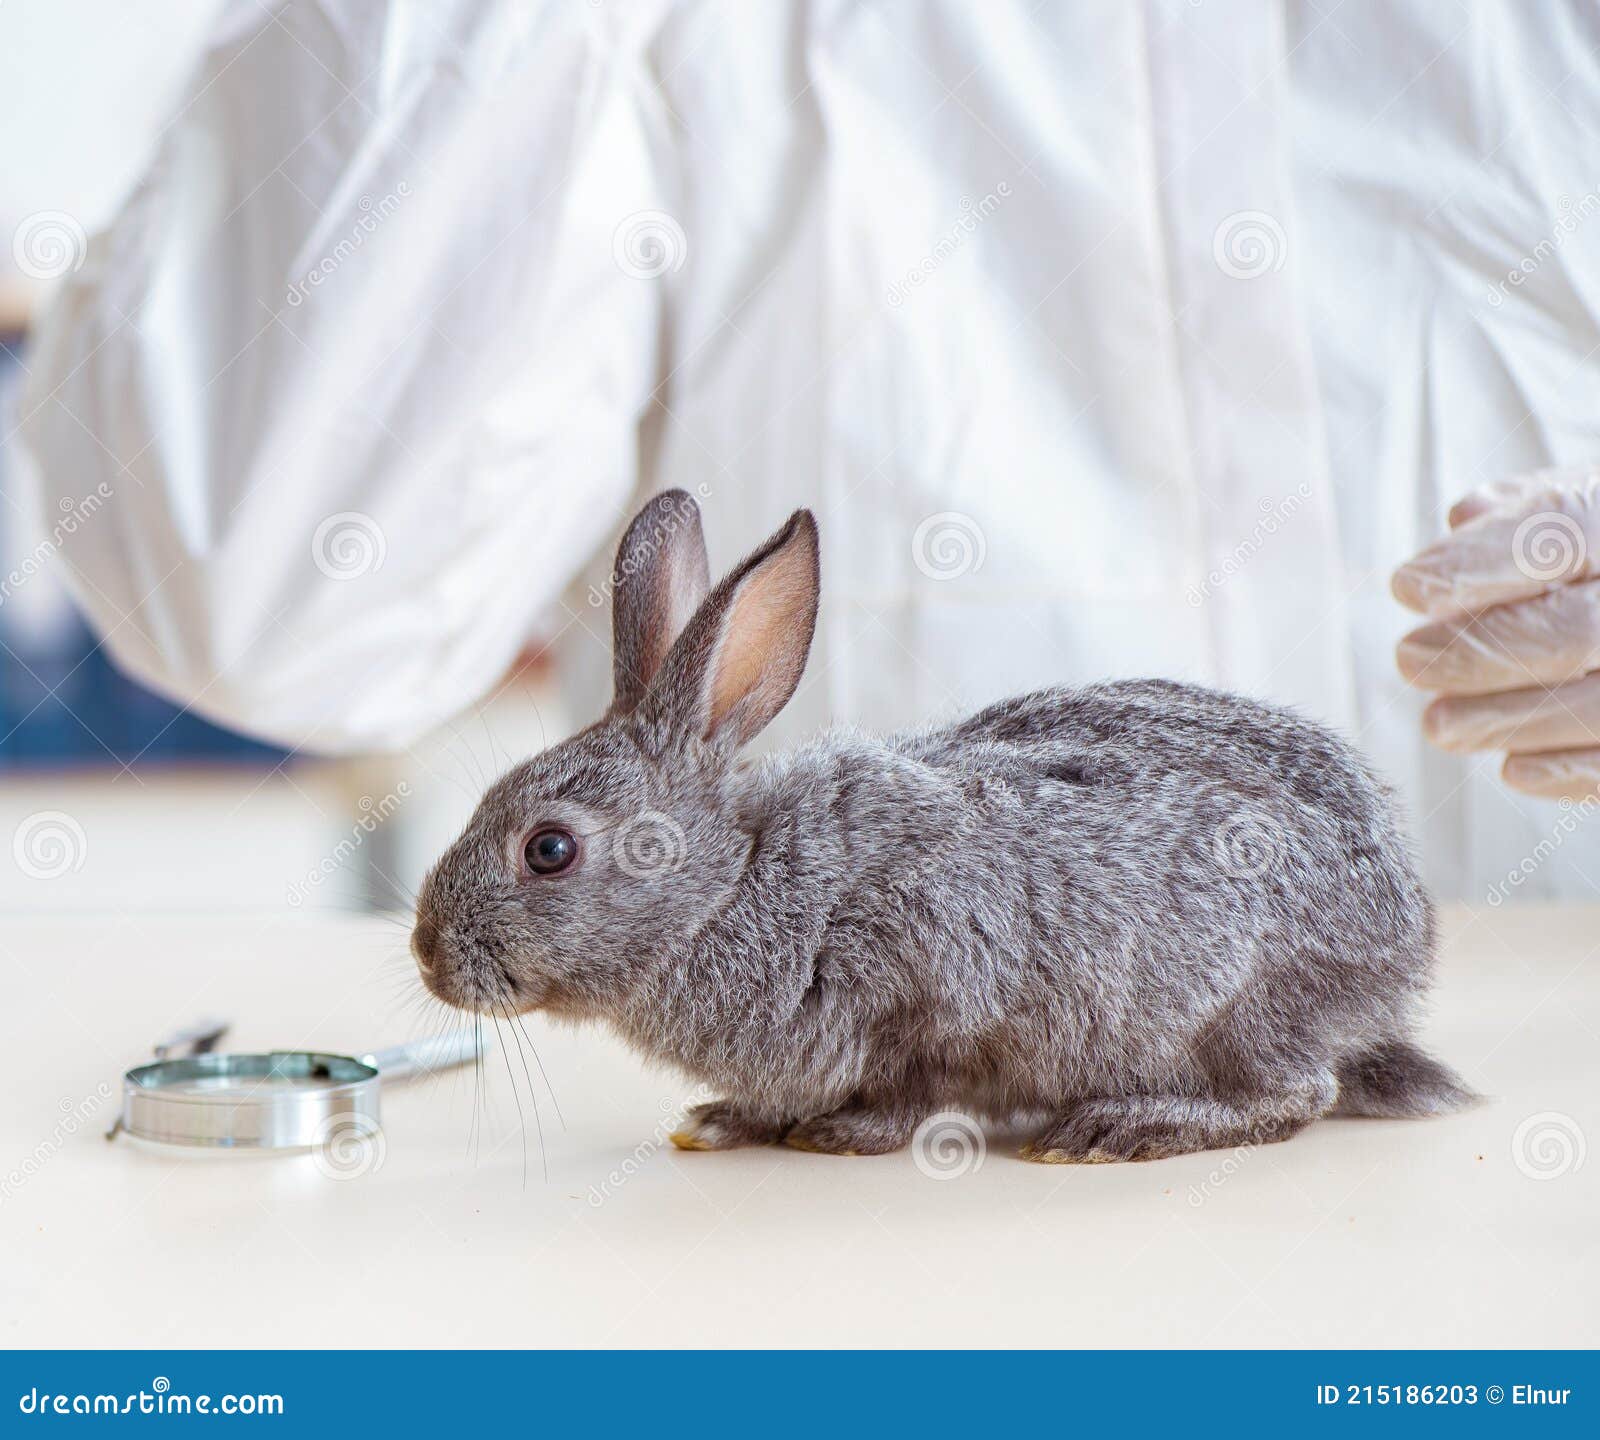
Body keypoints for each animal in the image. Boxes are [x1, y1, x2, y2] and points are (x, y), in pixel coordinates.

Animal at [411, 488, 1476, 1163]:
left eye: (549, 849)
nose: (428, 954)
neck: (728, 886)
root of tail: (1404, 948)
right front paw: (725, 1120)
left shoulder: (928, 989)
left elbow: (913, 1086)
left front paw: (840, 1135)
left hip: (1240, 1005)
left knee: (1297, 1094)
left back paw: (1125, 1128)